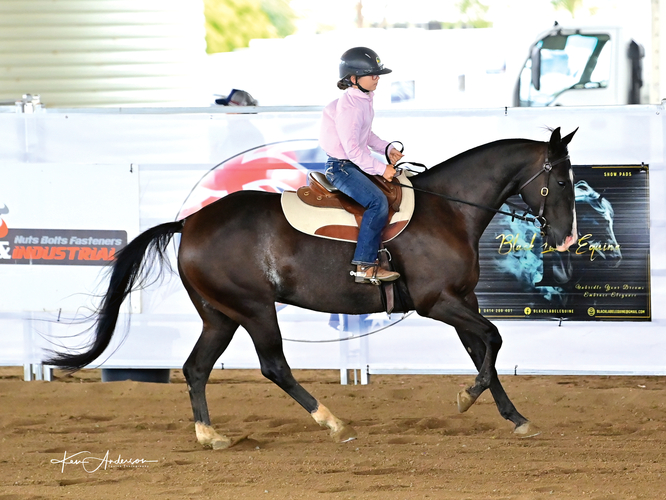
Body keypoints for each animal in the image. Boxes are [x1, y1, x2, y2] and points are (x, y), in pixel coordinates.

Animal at [46, 127, 578, 449]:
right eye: (561, 181)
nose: (567, 238)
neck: (447, 210)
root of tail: (190, 222)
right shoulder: (438, 302)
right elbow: (493, 339)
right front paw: (467, 398)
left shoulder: (463, 300)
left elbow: (483, 350)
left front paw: (515, 416)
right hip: (255, 310)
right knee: (274, 366)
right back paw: (332, 421)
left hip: (219, 315)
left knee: (196, 368)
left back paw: (210, 435)